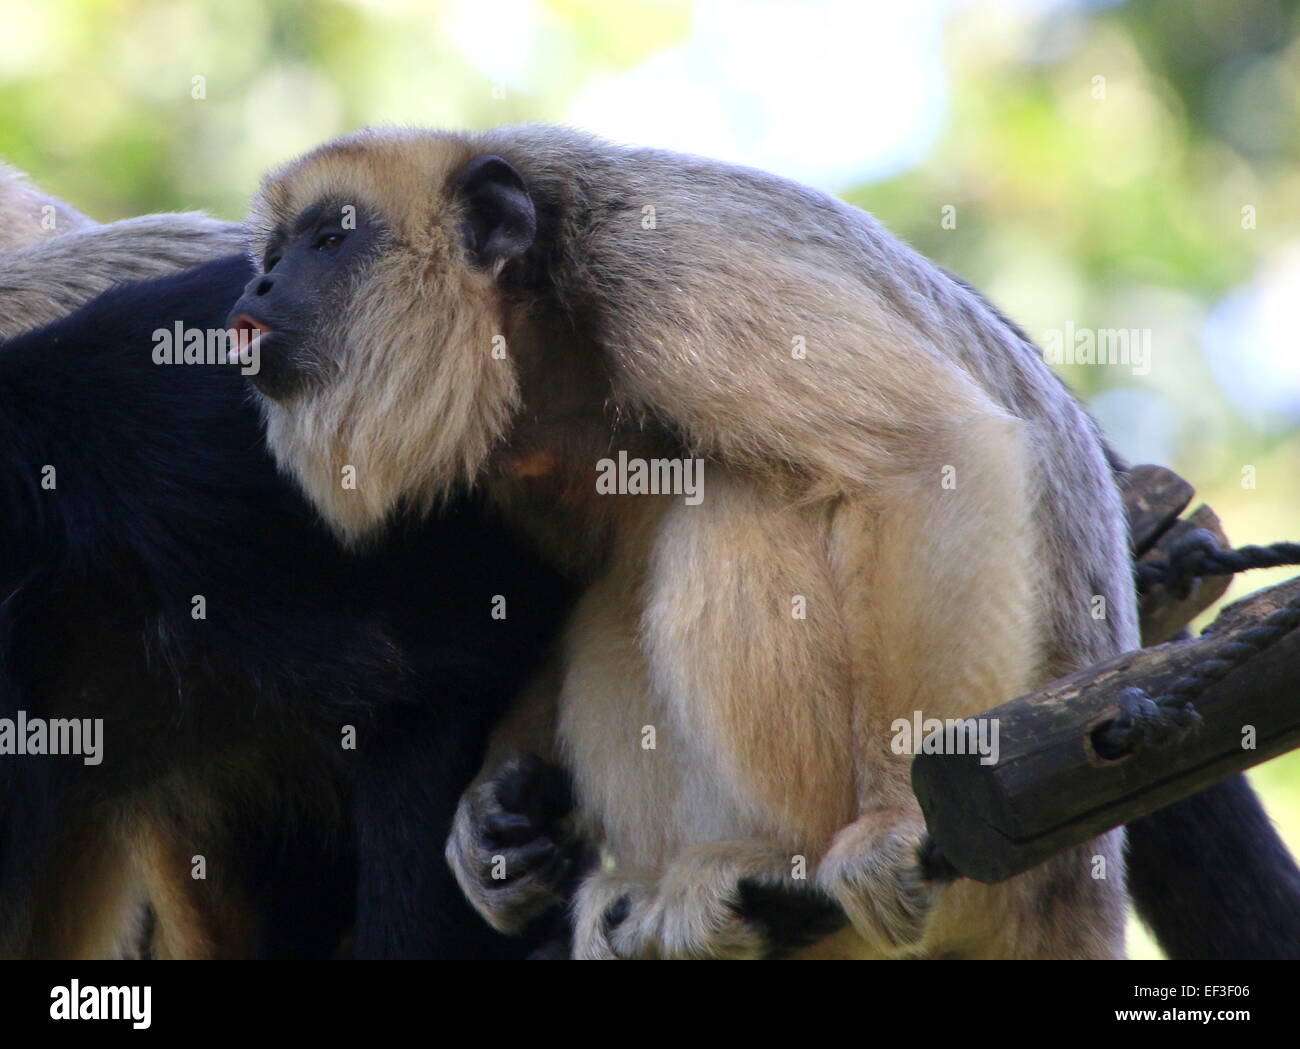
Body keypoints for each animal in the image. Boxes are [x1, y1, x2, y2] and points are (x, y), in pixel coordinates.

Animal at [221, 124, 1142, 960]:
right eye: (275, 250)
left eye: (331, 240)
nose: (260, 281)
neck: (537, 316)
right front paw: (492, 806)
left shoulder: (665, 274)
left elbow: (930, 455)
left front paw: (893, 818)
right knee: (619, 592)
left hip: (989, 867)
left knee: (734, 506)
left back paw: (777, 858)